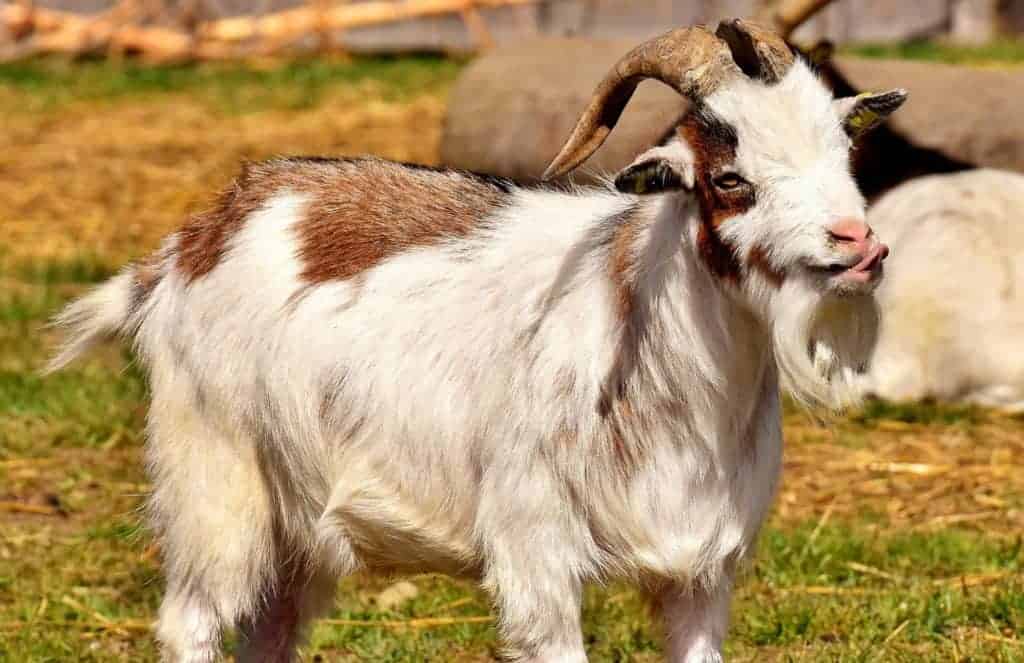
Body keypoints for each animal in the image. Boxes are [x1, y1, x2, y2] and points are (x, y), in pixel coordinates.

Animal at [47, 20, 904, 663]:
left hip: (299, 527)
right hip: (215, 481)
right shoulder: (536, 555)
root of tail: (193, 238)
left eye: (845, 148)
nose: (857, 243)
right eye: (730, 177)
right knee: (191, 620)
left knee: (270, 630)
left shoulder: (701, 575)